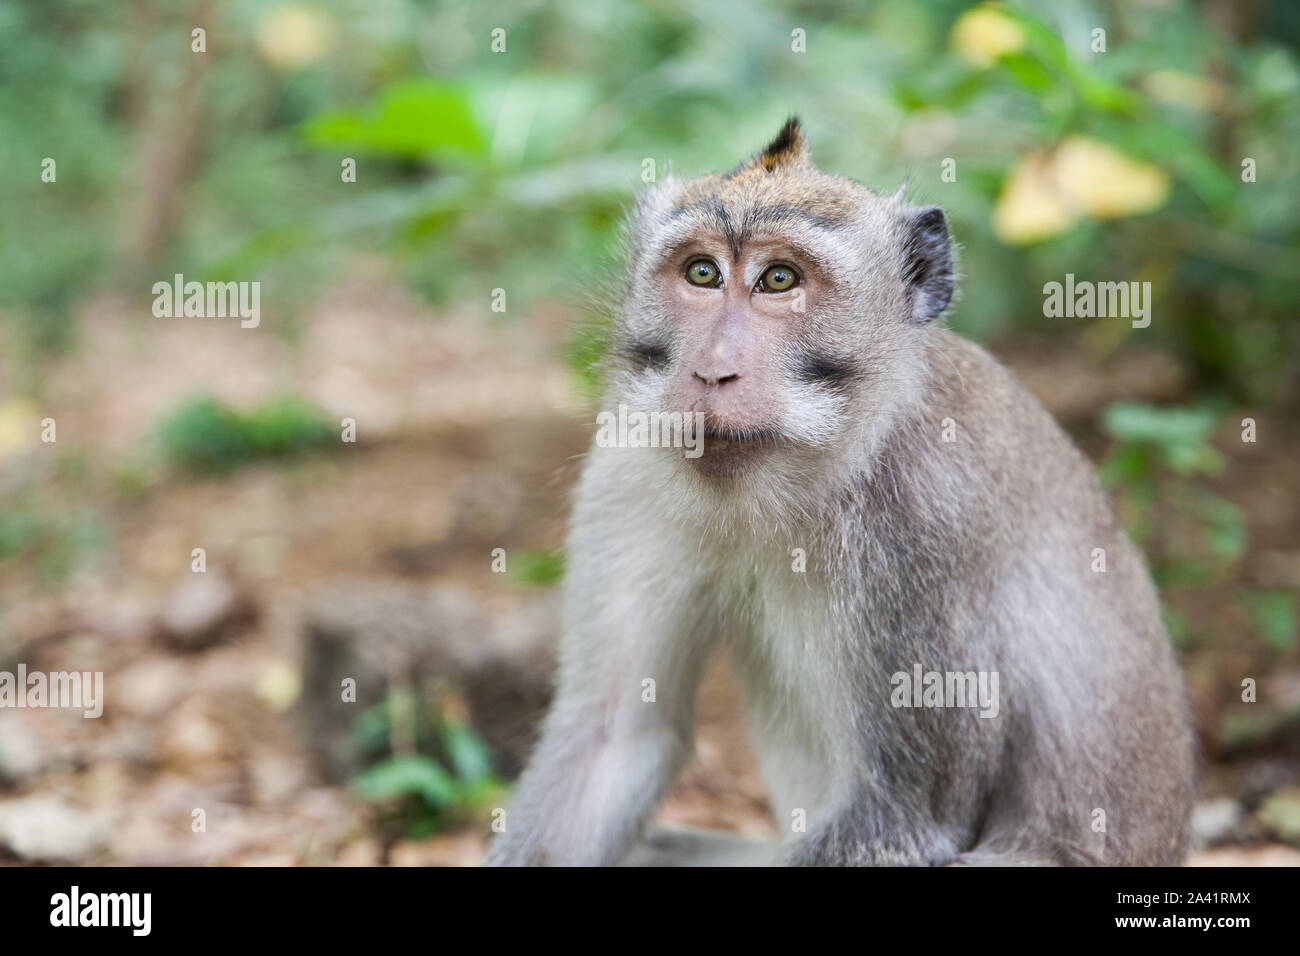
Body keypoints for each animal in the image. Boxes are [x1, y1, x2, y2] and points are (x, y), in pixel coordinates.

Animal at [485, 118, 1195, 866]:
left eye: (779, 279)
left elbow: (904, 815)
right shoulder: (627, 469)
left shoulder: (925, 521)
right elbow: (613, 740)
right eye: (702, 272)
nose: (711, 371)